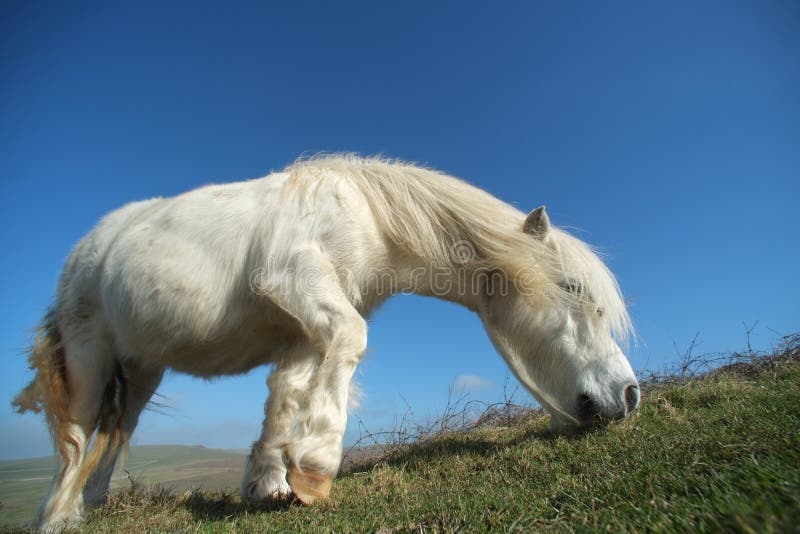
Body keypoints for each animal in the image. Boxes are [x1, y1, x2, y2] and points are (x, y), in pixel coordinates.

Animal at [13, 155, 639, 531]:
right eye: (575, 288)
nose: (630, 395)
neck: (370, 216)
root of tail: (92, 243)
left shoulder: (302, 328)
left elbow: (286, 394)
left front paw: (269, 481)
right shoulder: (301, 285)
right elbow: (349, 344)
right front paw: (314, 467)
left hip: (143, 368)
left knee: (119, 430)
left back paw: (95, 503)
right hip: (88, 350)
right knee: (77, 434)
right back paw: (59, 516)